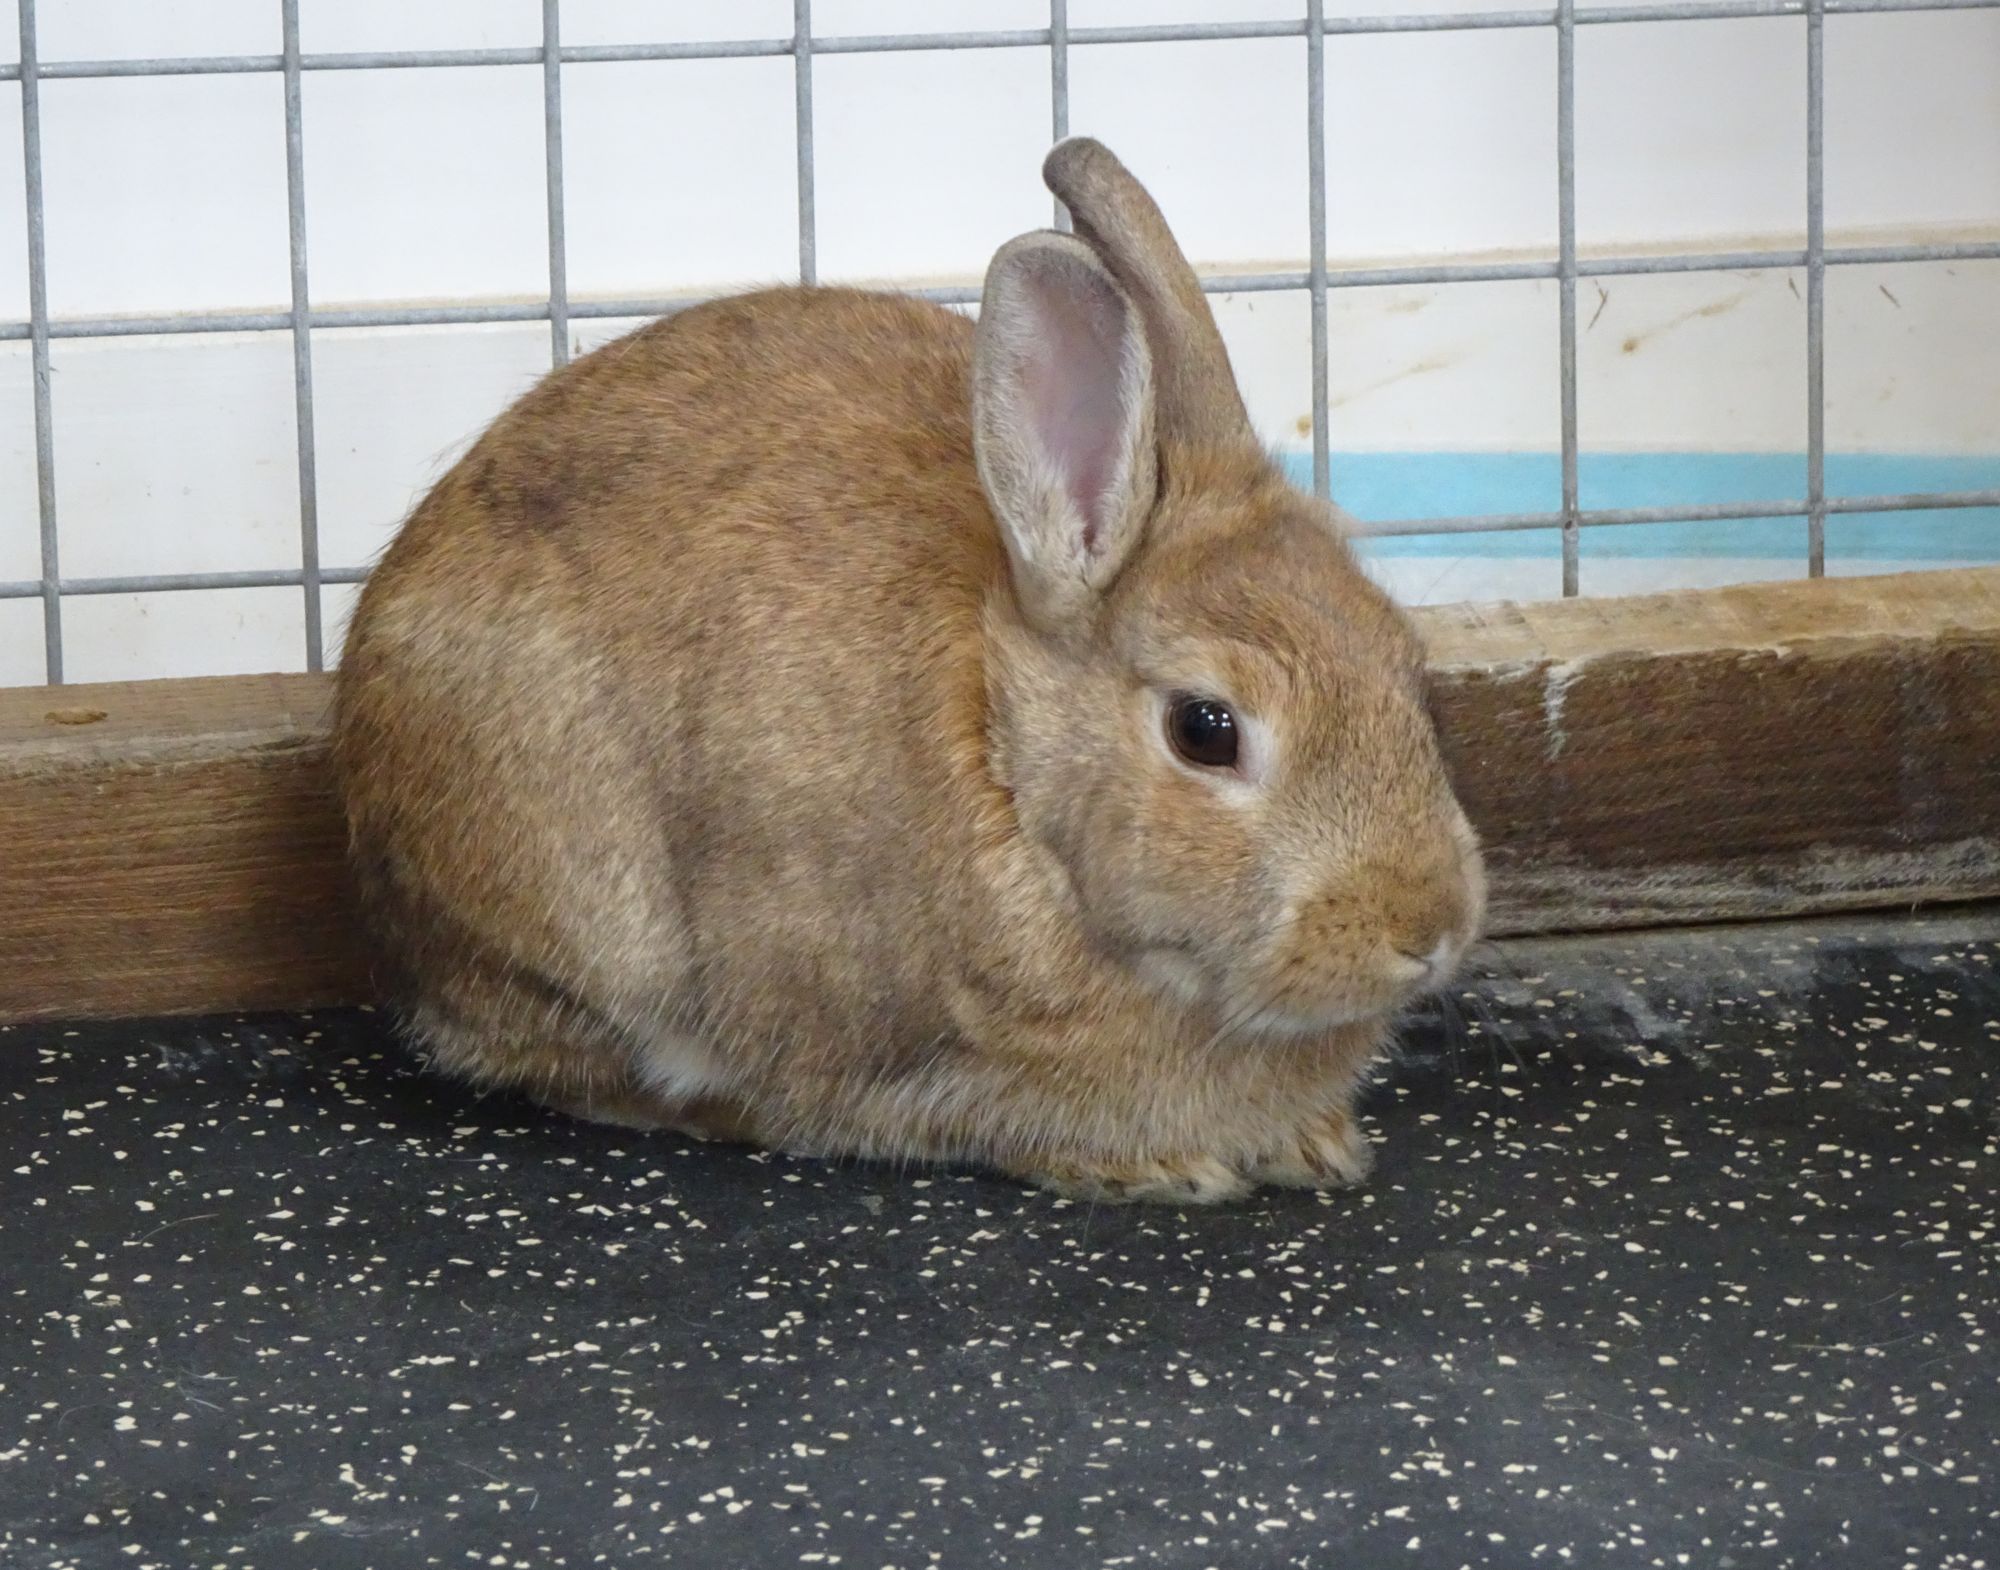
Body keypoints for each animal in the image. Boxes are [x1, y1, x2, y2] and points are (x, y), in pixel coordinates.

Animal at [331, 137, 1486, 1204]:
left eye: (1403, 666)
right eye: (1205, 729)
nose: (1424, 927)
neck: (1011, 773)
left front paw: (1312, 1145)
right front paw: (1155, 1165)